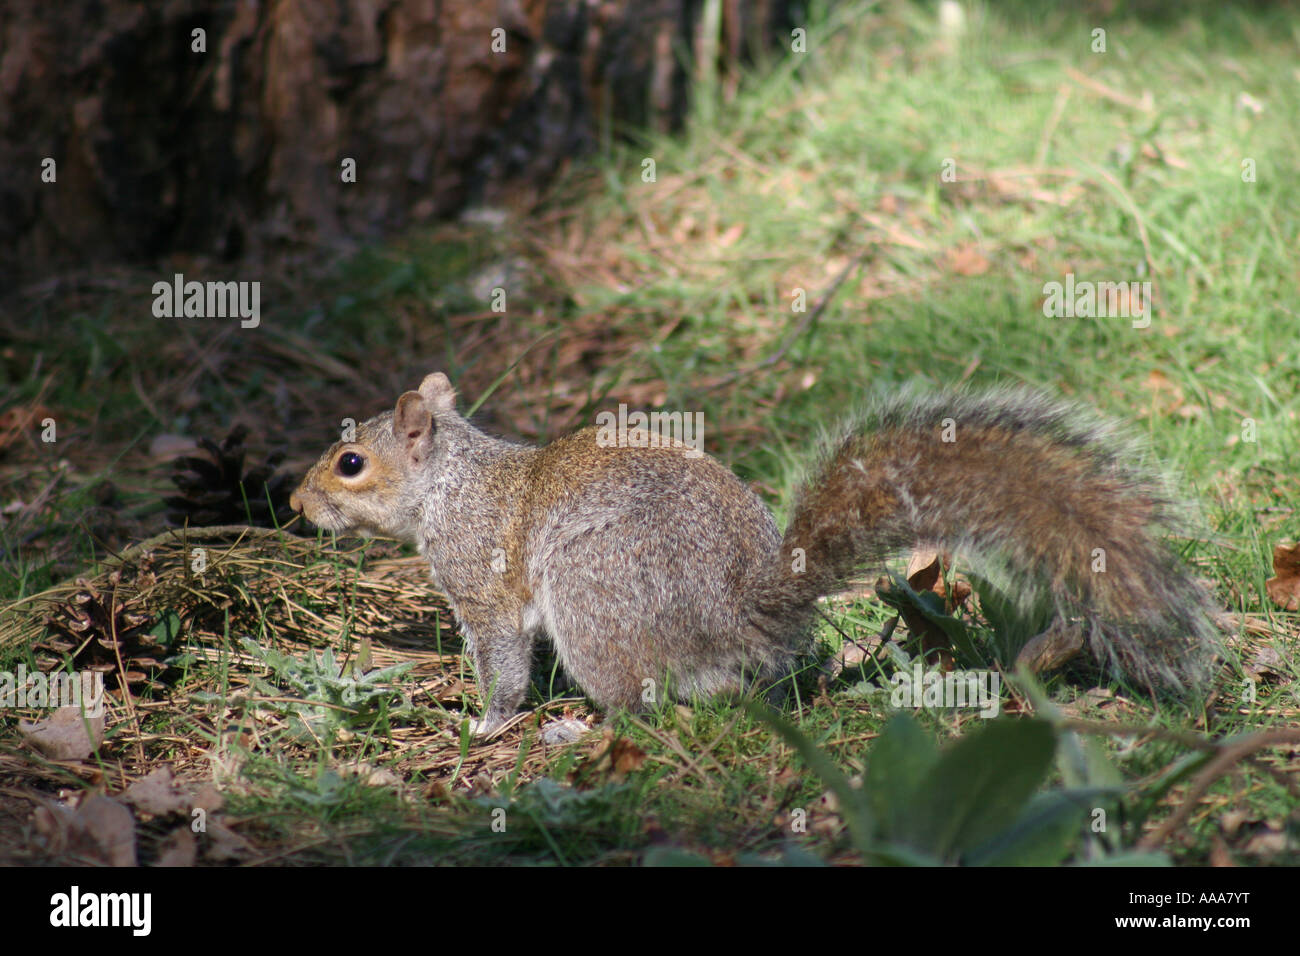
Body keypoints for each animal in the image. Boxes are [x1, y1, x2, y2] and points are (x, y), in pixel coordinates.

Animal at [288, 371, 1221, 735]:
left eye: (350, 462)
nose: (294, 504)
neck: (453, 483)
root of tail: (739, 613)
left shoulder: (483, 581)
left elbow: (504, 662)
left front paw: (488, 723)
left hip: (594, 600)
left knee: (649, 703)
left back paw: (580, 730)